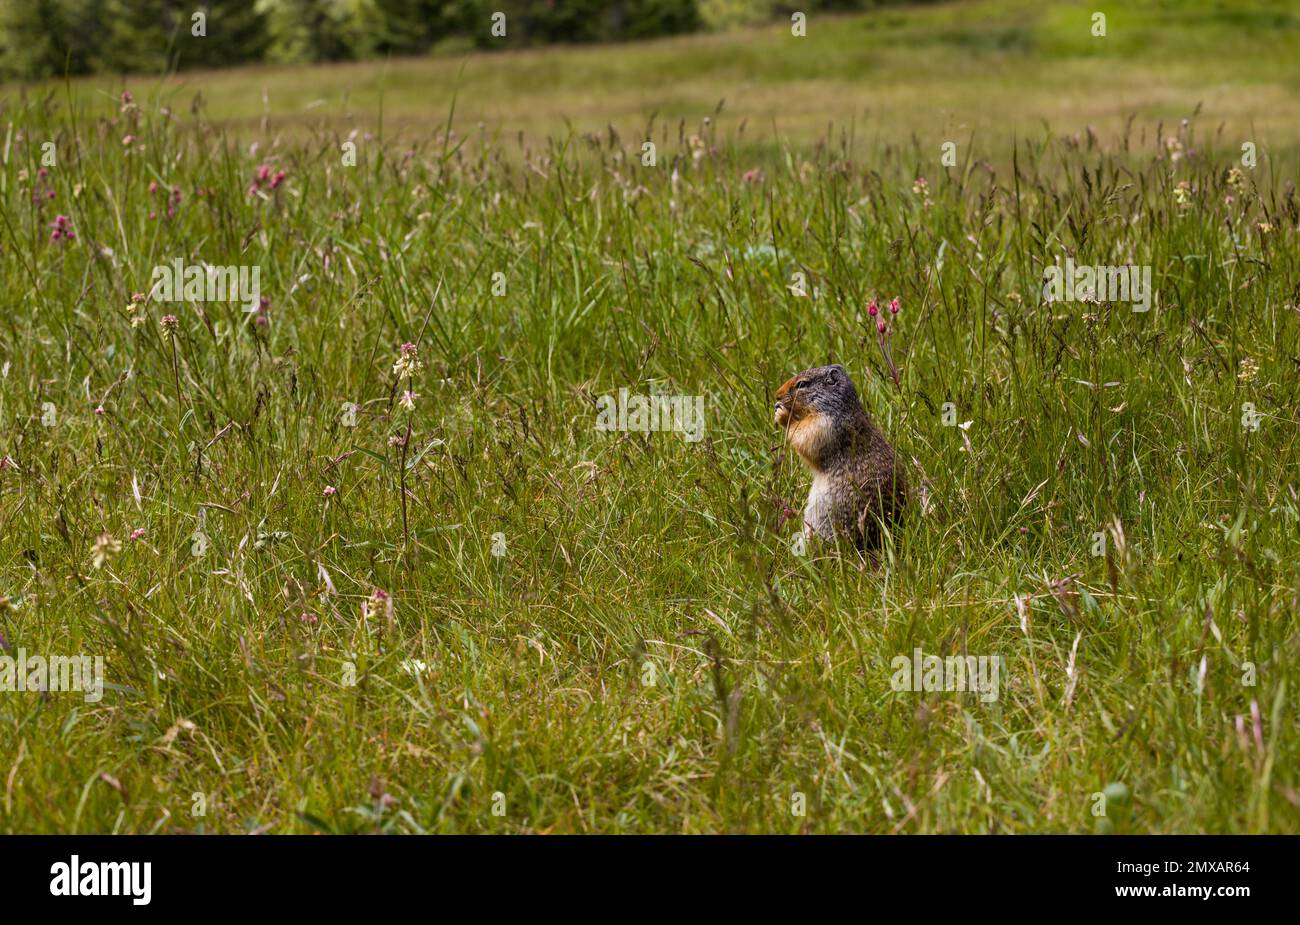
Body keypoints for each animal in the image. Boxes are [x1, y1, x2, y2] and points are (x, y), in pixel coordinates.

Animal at [774, 364, 907, 549]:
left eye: (802, 384)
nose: (776, 395)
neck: (837, 406)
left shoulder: (824, 425)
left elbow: (804, 435)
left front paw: (783, 415)